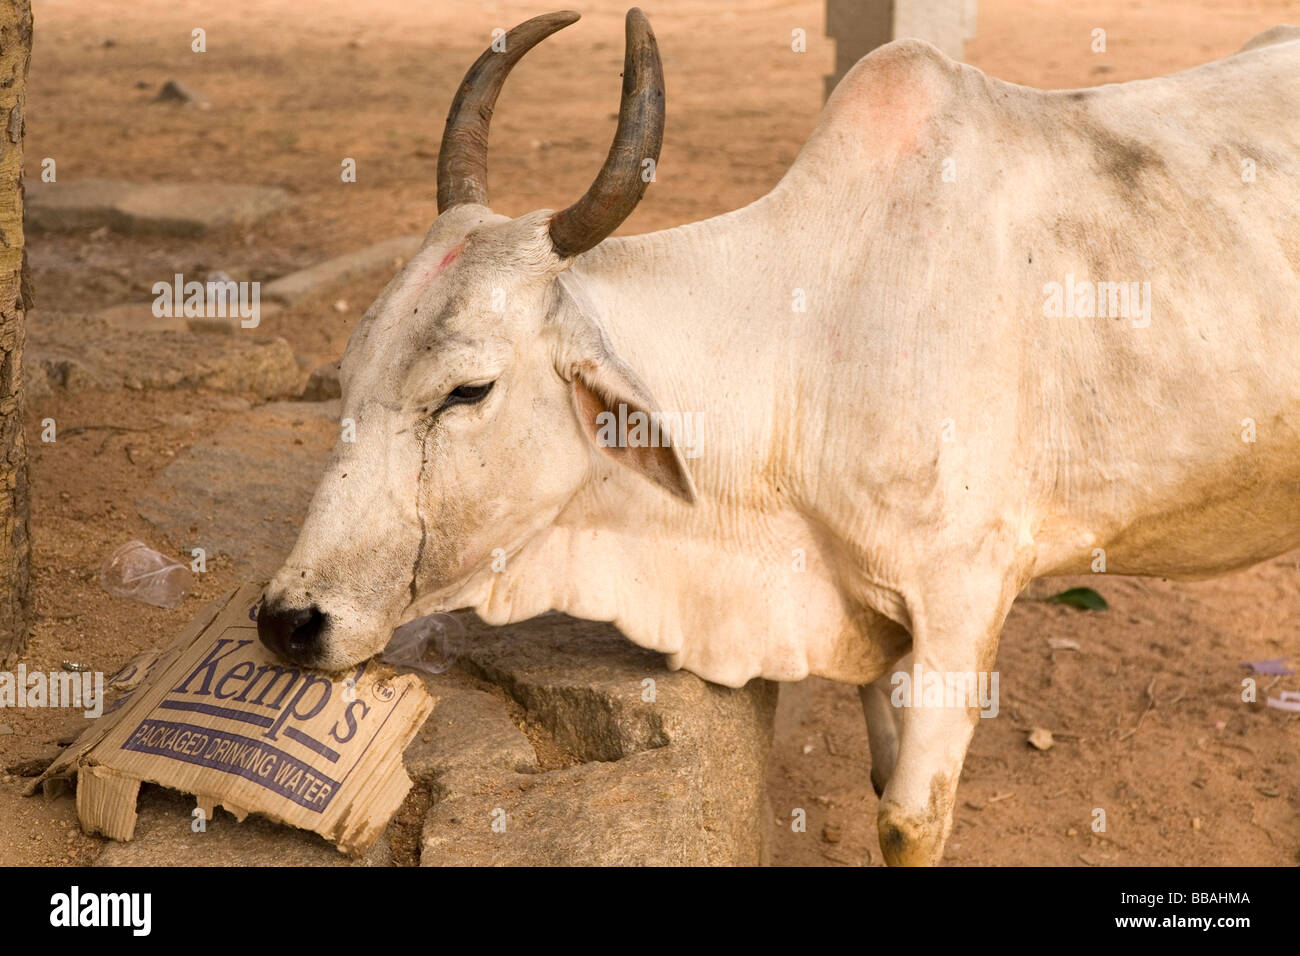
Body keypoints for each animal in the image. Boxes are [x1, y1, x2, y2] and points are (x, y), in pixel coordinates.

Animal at [258, 8, 1300, 865]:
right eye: (350, 367)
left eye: (468, 390)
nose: (288, 622)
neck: (812, 341)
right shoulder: (864, 600)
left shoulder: (966, 596)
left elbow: (908, 821)